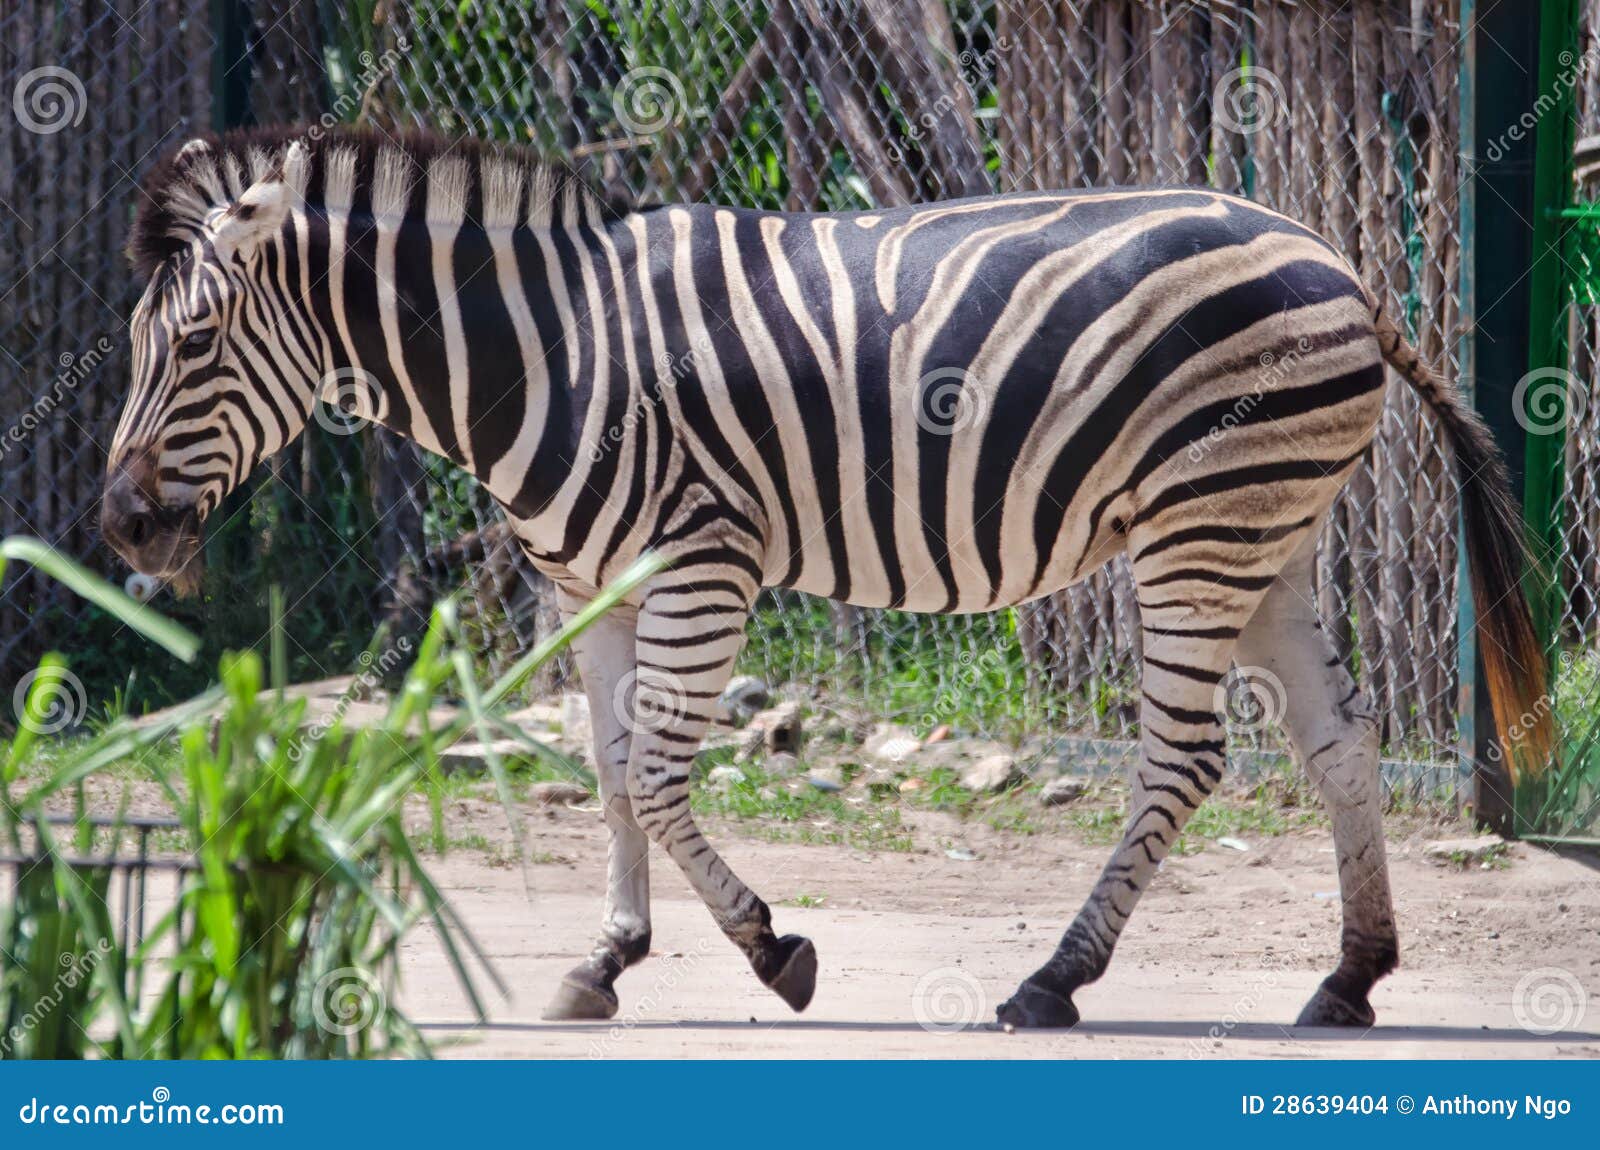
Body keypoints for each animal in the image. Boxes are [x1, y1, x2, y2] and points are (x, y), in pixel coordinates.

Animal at [103, 126, 1552, 1030]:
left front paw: (771, 948)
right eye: (138, 342)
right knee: (1343, 744)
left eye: (199, 341)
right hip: (1271, 530)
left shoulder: (702, 563)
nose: (118, 527)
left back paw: (1053, 979)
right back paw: (1351, 978)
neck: (558, 352)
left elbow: (657, 774)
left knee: (1185, 759)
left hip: (1200, 525)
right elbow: (609, 768)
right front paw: (607, 956)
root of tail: (1341, 265)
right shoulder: (589, 586)